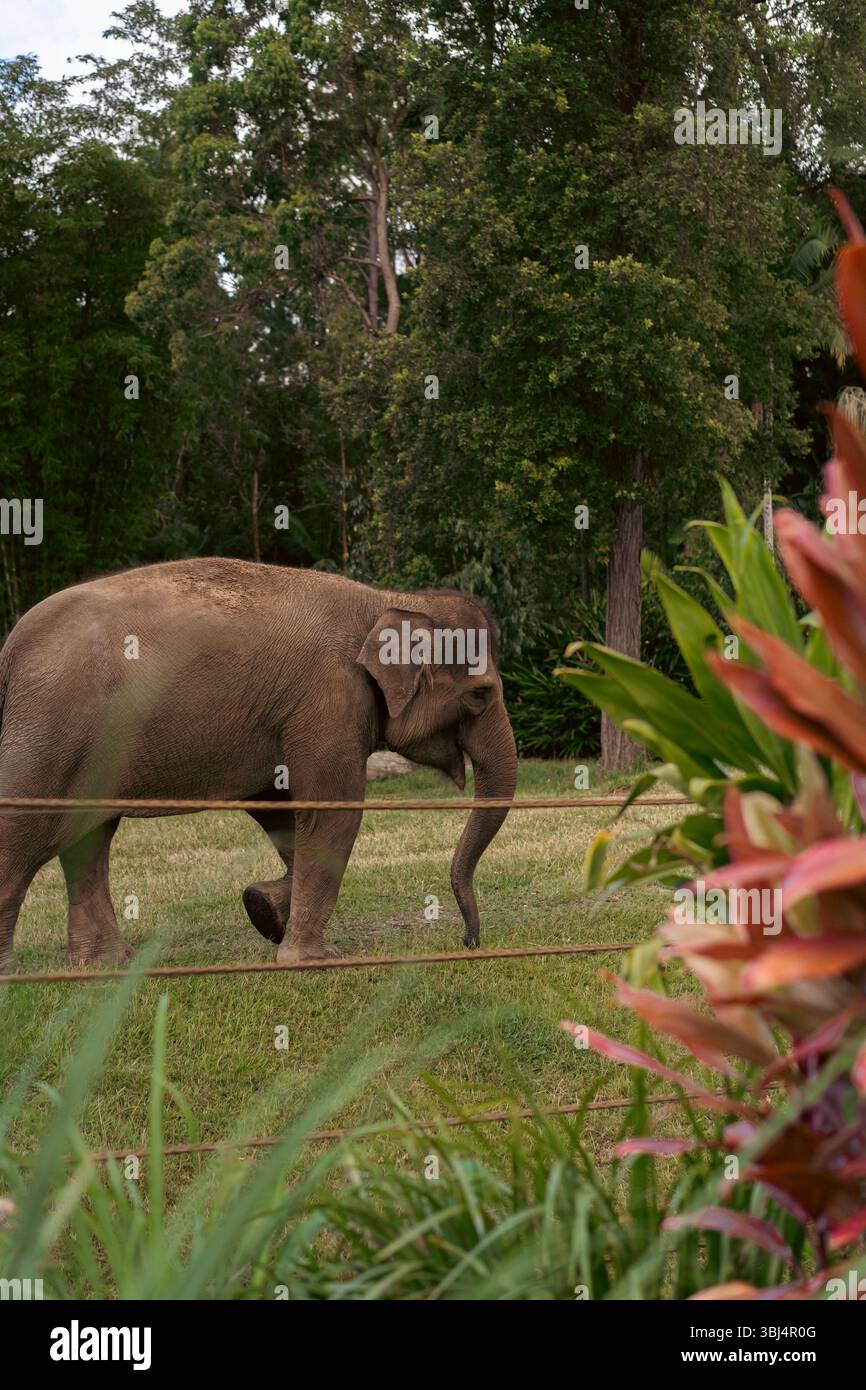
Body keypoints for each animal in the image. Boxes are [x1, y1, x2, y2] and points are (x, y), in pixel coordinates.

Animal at [0, 559, 517, 970]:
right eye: (480, 694)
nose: (469, 940)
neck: (389, 601)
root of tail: (10, 649)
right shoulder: (329, 701)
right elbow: (333, 811)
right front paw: (313, 959)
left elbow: (279, 810)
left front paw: (262, 907)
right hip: (50, 731)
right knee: (27, 831)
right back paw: (16, 974)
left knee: (88, 839)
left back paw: (104, 964)